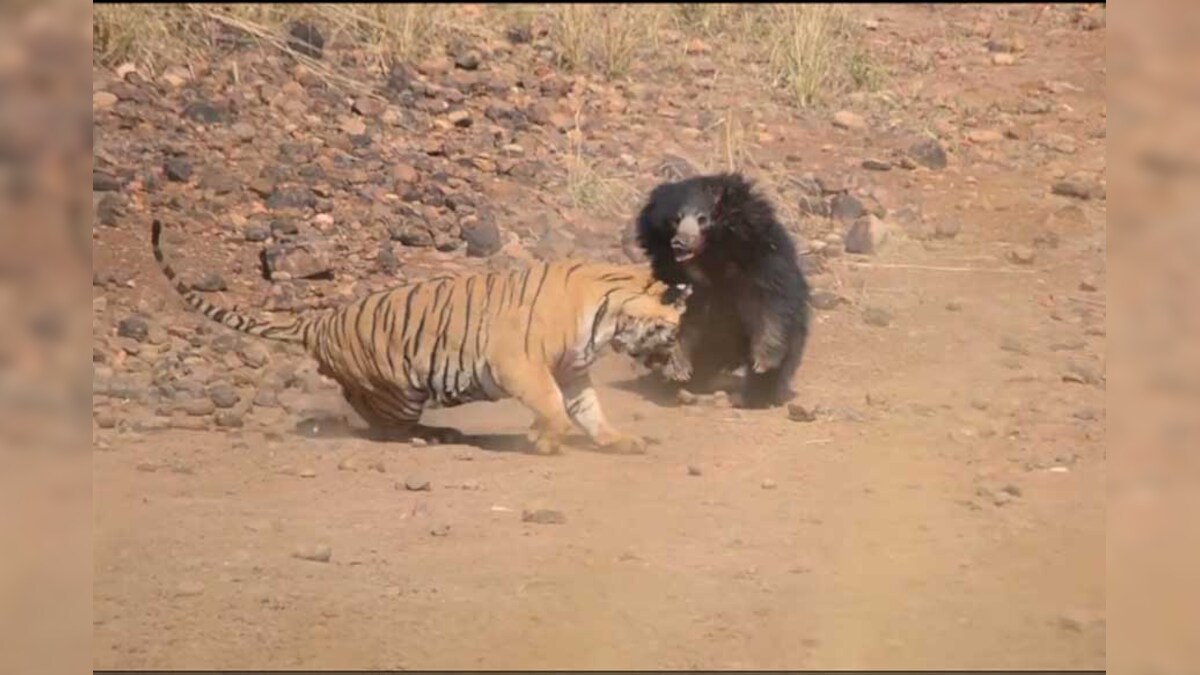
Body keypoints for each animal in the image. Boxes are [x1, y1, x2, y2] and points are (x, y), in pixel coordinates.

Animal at [150, 220, 684, 455]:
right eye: (676, 328)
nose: (679, 359)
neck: (606, 316)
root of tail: (319, 321)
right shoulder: (520, 364)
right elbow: (552, 406)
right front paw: (544, 439)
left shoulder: (572, 371)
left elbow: (589, 409)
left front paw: (617, 439)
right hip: (399, 385)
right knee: (379, 421)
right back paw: (430, 435)